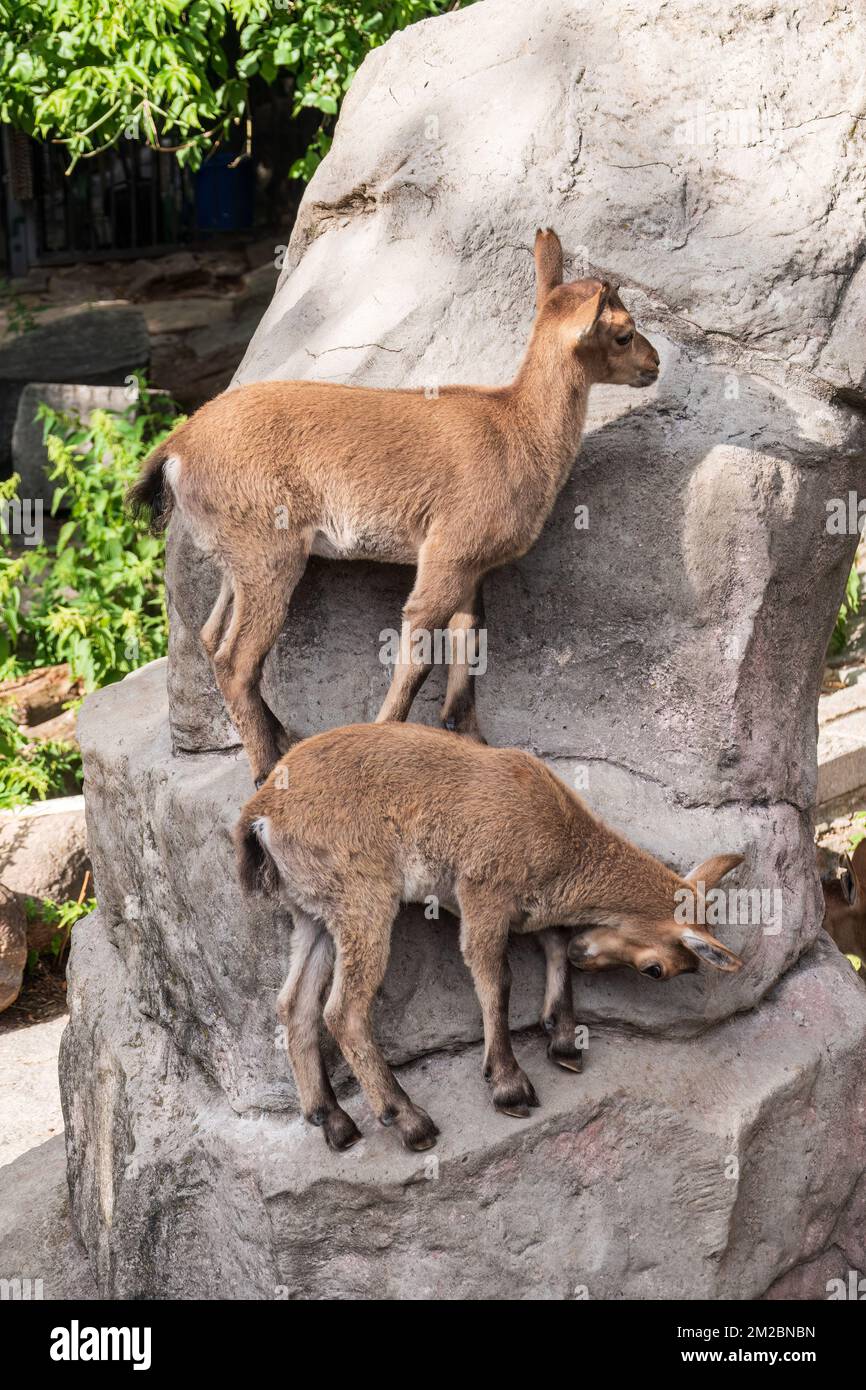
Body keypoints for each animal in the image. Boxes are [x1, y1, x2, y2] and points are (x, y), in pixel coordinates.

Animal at [129, 229, 660, 785]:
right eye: (623, 334)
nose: (655, 364)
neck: (516, 429)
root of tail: (178, 449)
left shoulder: (470, 566)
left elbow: (469, 641)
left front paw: (470, 737)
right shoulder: (448, 552)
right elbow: (420, 652)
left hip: (239, 561)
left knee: (211, 638)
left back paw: (279, 739)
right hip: (269, 554)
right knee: (236, 659)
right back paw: (268, 768)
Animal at [235, 721, 743, 1153]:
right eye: (656, 970)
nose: (585, 955)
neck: (560, 836)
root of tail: (262, 816)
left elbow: (553, 942)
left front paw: (563, 1039)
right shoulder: (483, 893)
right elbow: (496, 980)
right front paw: (509, 1086)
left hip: (312, 913)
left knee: (294, 1003)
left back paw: (334, 1121)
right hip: (363, 897)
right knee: (343, 1010)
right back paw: (409, 1121)